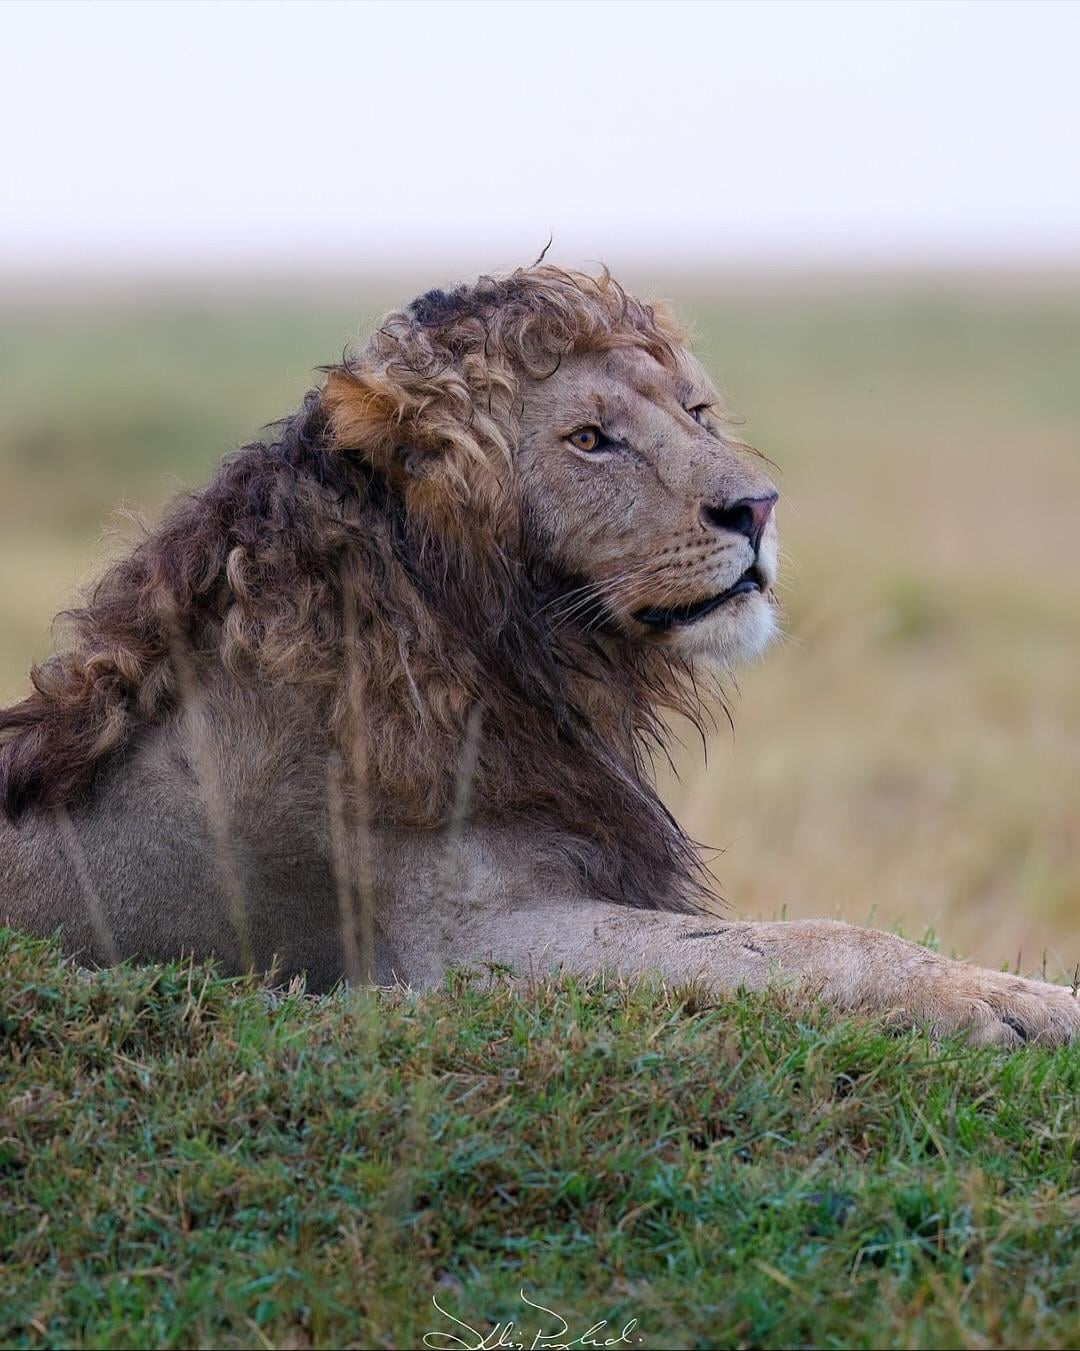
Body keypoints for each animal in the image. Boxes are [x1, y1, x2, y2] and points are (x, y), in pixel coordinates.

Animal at [1, 264, 1076, 1048]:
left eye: (695, 412)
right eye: (590, 439)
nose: (757, 507)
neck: (510, 647)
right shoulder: (470, 948)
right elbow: (816, 941)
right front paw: (1005, 1001)